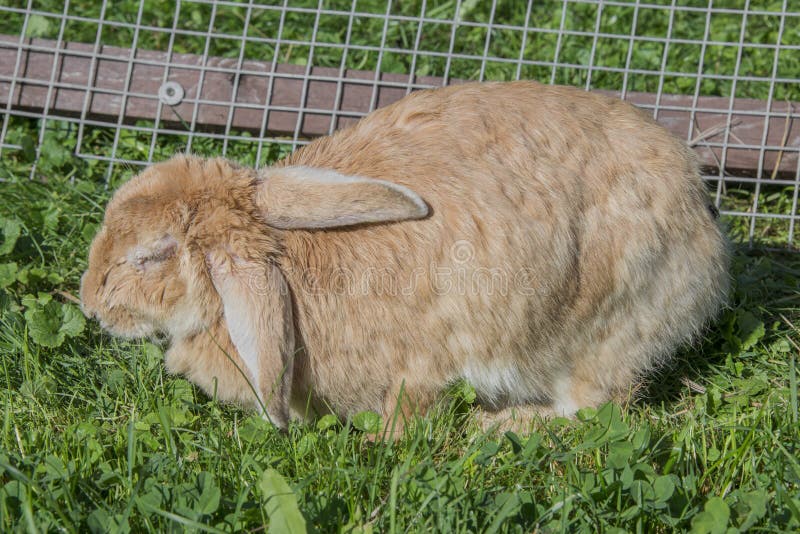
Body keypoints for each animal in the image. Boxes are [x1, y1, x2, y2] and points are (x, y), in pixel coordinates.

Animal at [80, 81, 728, 435]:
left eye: (152, 255)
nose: (89, 304)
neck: (282, 259)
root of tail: (702, 226)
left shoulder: (415, 372)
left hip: (602, 330)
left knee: (595, 405)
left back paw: (497, 426)